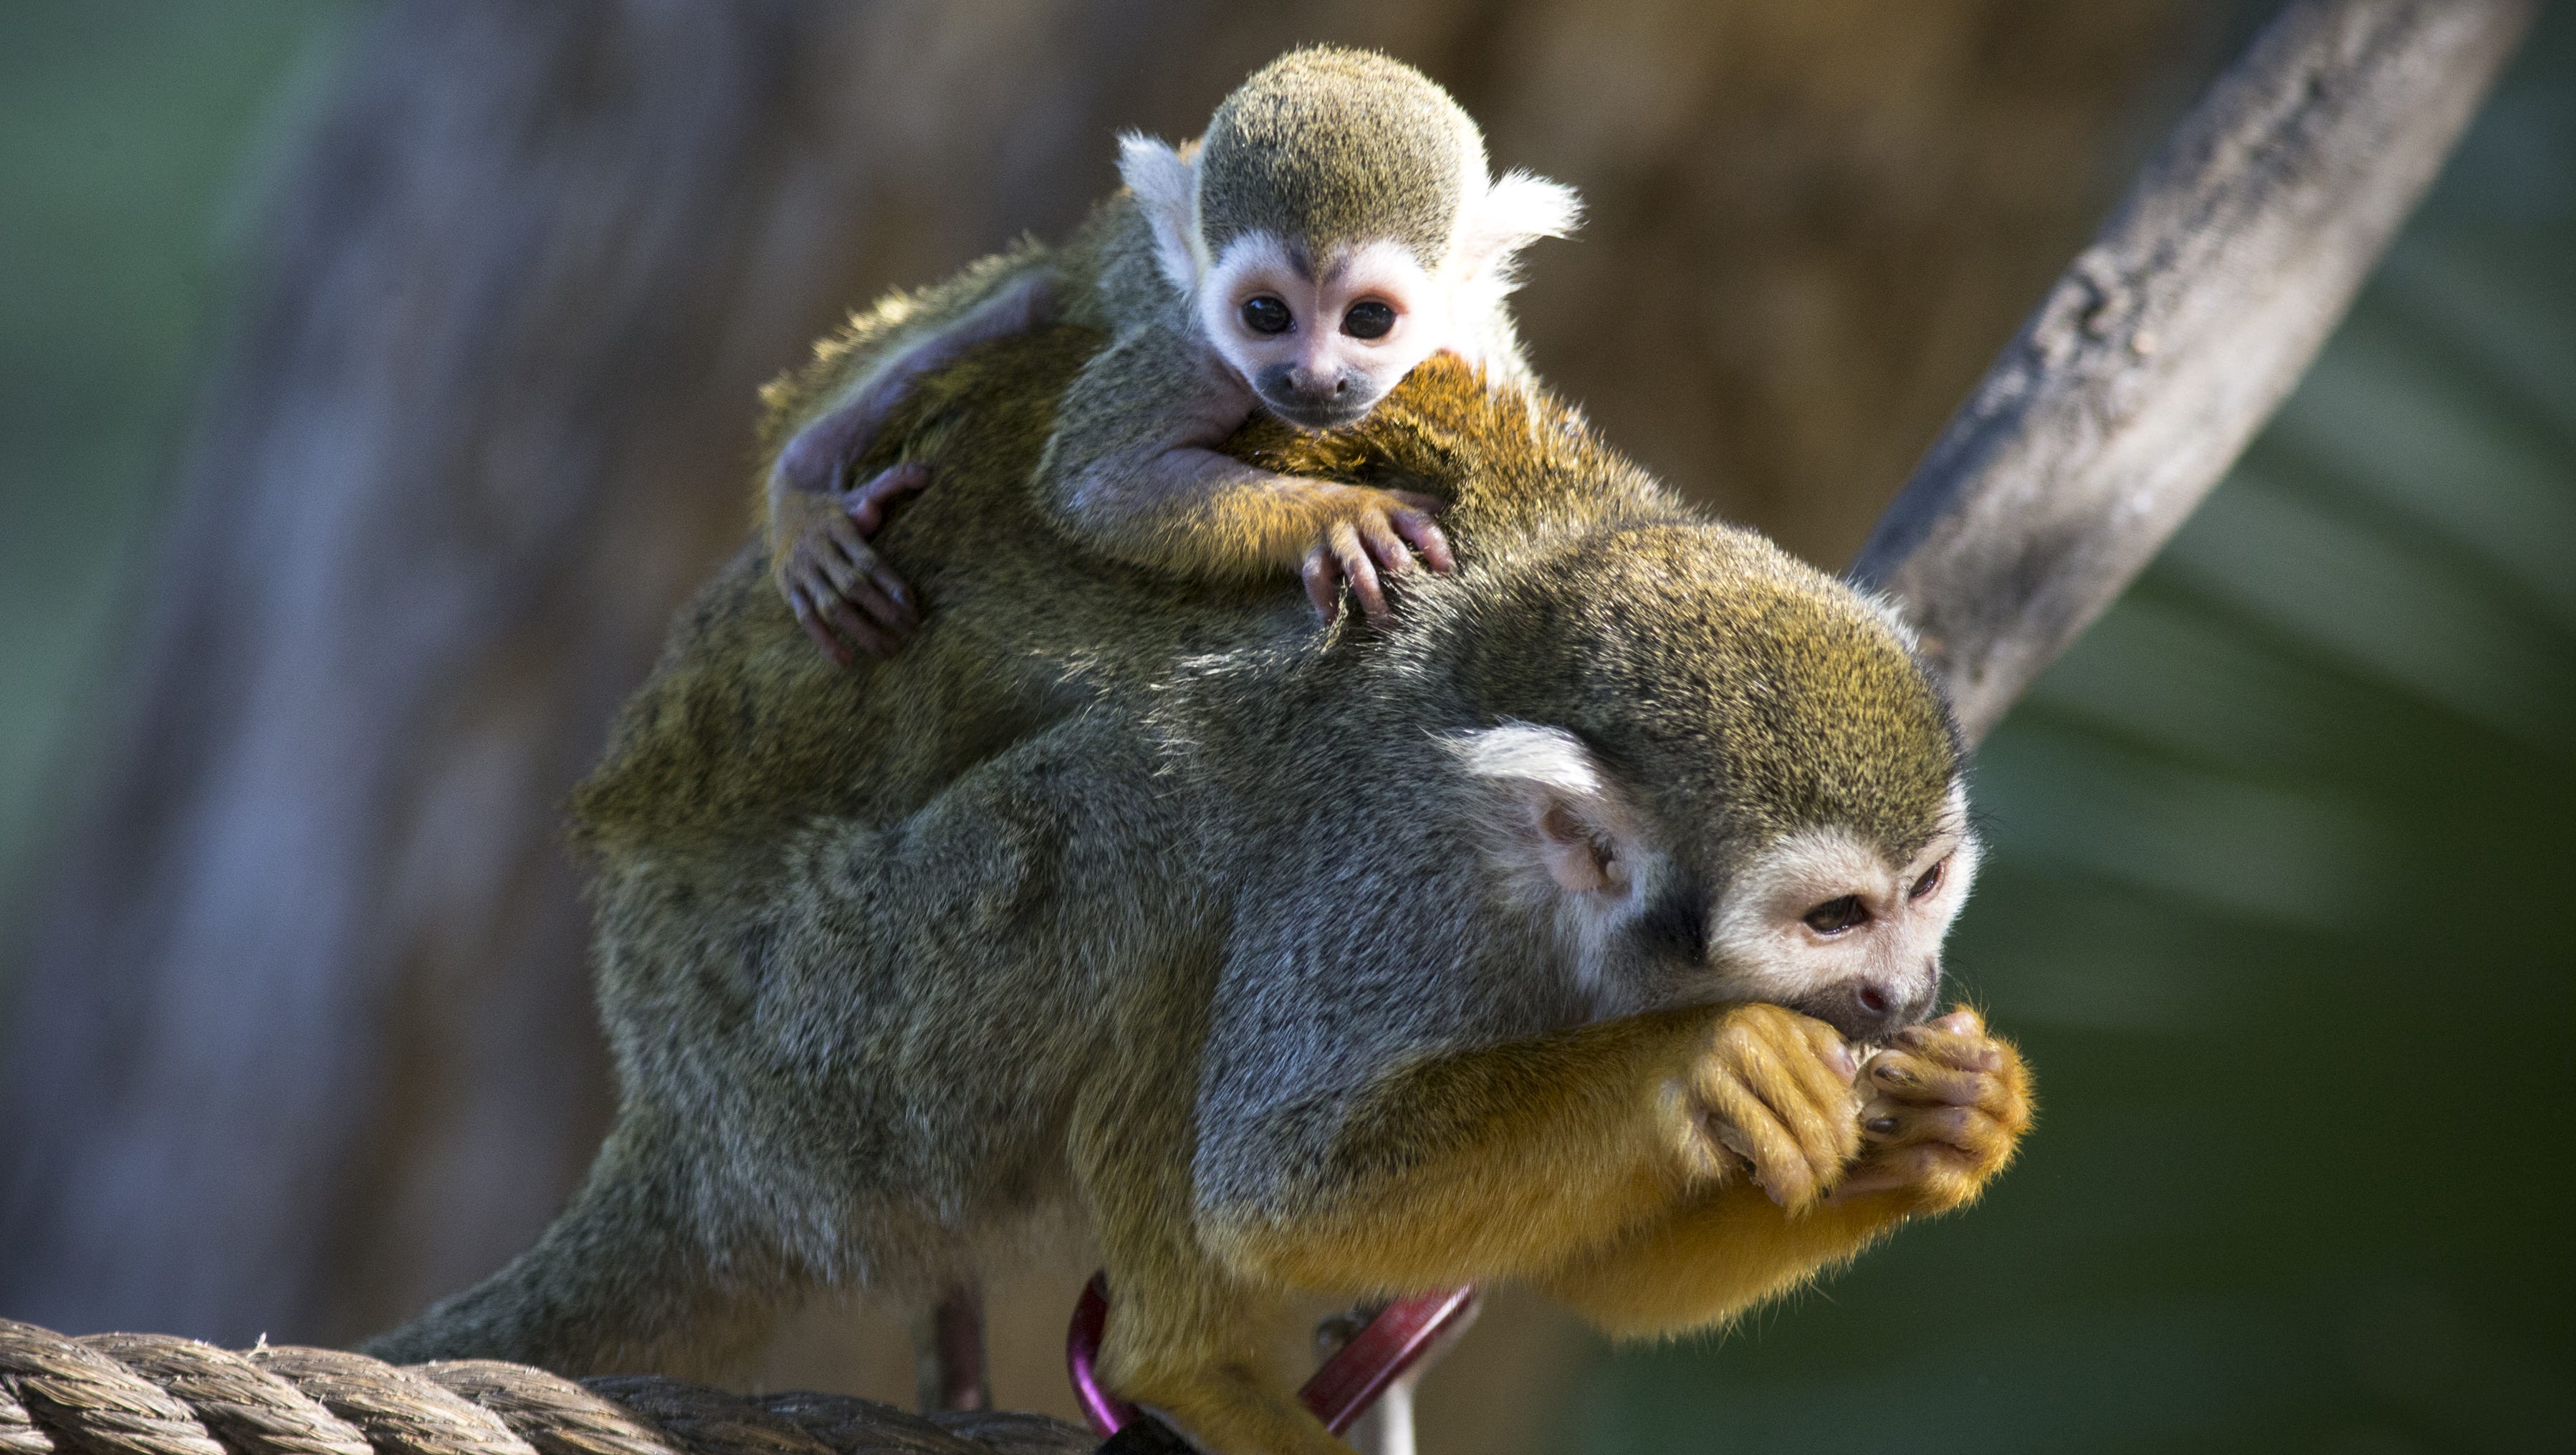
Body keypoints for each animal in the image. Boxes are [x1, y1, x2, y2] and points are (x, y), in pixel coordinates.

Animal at [365, 331, 2032, 1455]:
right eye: (1832, 916)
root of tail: (679, 1102)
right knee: (1160, 818)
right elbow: (1276, 1184)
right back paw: (1178, 1366)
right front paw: (1707, 1061)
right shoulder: (1383, 869)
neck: (1560, 902)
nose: (1901, 992)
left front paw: (1945, 1121)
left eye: (1926, 886)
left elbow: (1593, 1266)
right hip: (820, 1037)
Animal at [766, 46, 1581, 666]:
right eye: (1265, 314)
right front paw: (1341, 515)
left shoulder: (1476, 350)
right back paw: (802, 496)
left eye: (1369, 318)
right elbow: (1099, 480)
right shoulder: (1189, 344)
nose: (1313, 378)